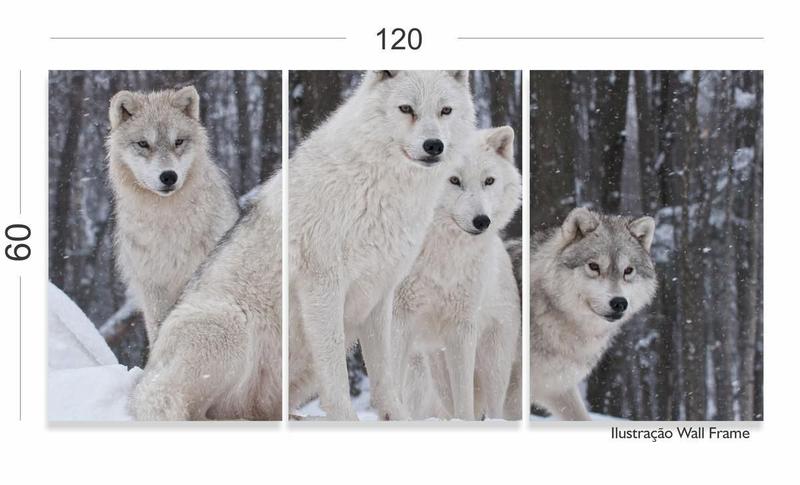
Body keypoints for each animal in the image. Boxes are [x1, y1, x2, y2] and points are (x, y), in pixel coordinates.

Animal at [288, 71, 476, 420]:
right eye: (406, 109)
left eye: (445, 110)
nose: (434, 145)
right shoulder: (325, 282)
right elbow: (335, 364)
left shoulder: (381, 286)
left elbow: (384, 368)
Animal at [391, 126, 522, 420]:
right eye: (453, 180)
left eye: (488, 181)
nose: (482, 221)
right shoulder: (398, 320)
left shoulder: (462, 328)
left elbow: (465, 401)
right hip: (428, 369)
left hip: (493, 363)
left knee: (493, 408)